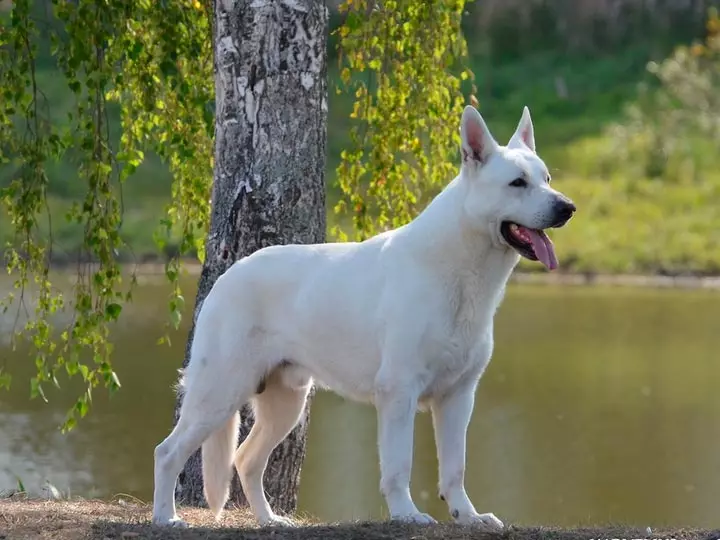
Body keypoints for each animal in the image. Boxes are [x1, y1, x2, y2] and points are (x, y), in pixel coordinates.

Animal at [150, 104, 572, 528]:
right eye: (517, 183)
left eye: (547, 179)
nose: (567, 208)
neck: (462, 274)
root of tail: (227, 276)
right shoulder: (399, 391)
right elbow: (399, 466)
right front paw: (407, 514)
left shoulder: (458, 396)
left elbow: (455, 469)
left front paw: (466, 515)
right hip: (219, 393)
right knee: (167, 453)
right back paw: (166, 517)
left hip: (285, 404)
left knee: (246, 459)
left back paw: (270, 520)